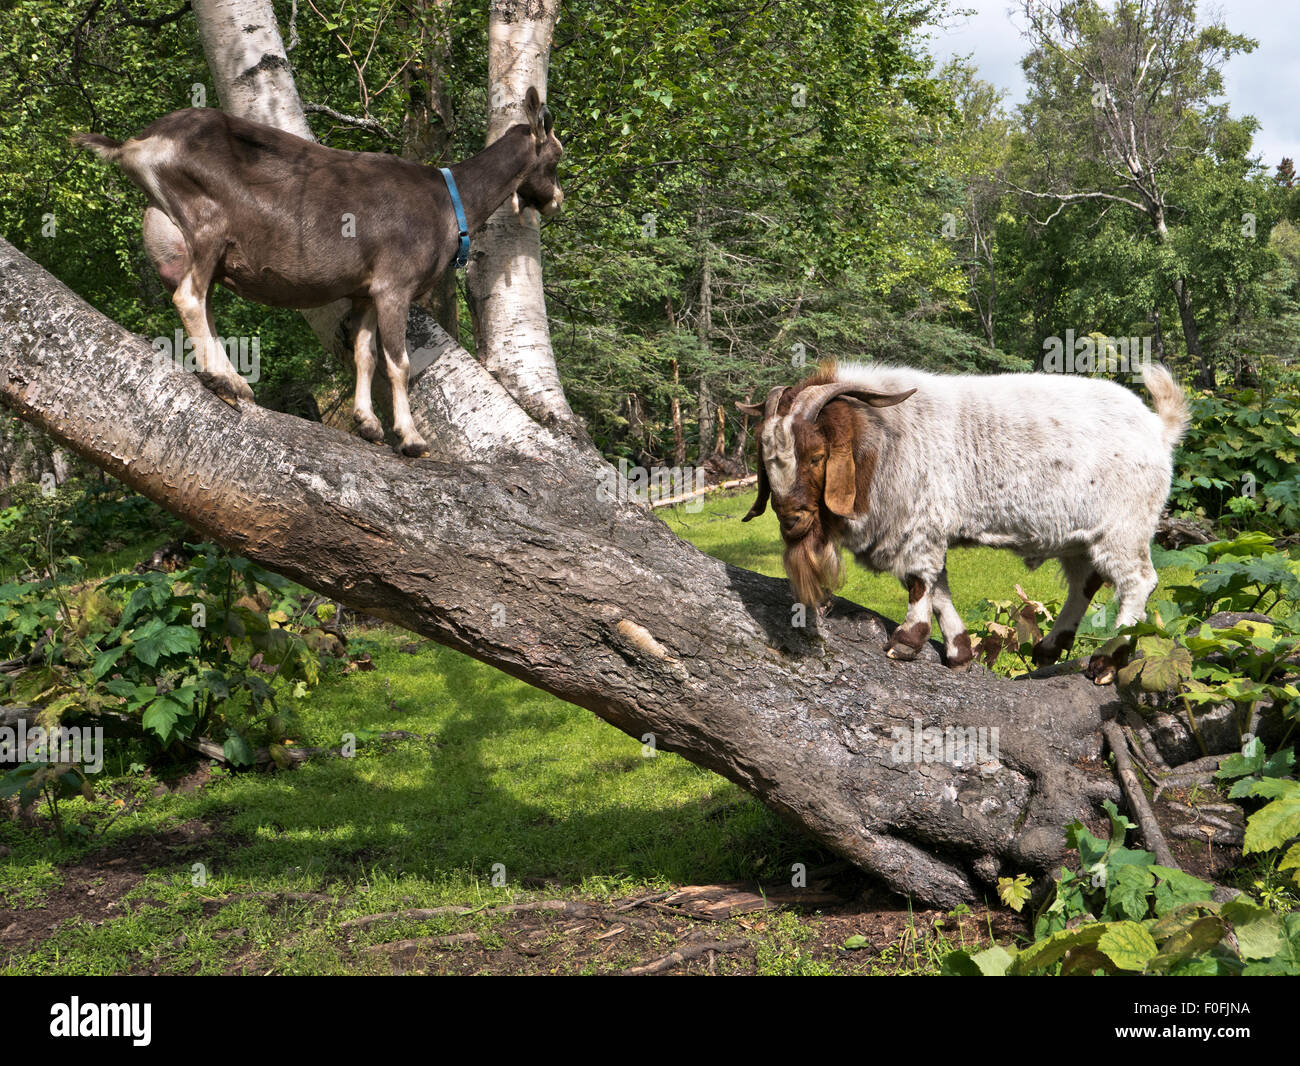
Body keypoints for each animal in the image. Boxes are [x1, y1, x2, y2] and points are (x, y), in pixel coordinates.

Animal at [72, 88, 564, 457]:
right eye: (556, 158)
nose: (556, 200)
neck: (449, 201)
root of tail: (137, 145)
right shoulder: (395, 285)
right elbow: (398, 362)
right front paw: (410, 438)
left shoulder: (365, 291)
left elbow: (363, 354)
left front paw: (367, 423)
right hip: (207, 224)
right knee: (189, 297)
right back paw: (225, 380)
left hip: (177, 234)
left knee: (201, 301)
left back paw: (234, 380)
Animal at [737, 361, 1188, 670]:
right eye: (765, 457)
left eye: (816, 456)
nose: (791, 521)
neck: (883, 437)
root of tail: (1158, 428)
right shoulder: (926, 529)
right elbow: (938, 587)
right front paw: (958, 650)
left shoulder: (918, 527)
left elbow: (920, 582)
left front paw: (906, 641)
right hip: (1080, 535)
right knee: (1086, 582)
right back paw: (1051, 647)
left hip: (1124, 529)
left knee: (1137, 582)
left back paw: (1109, 658)